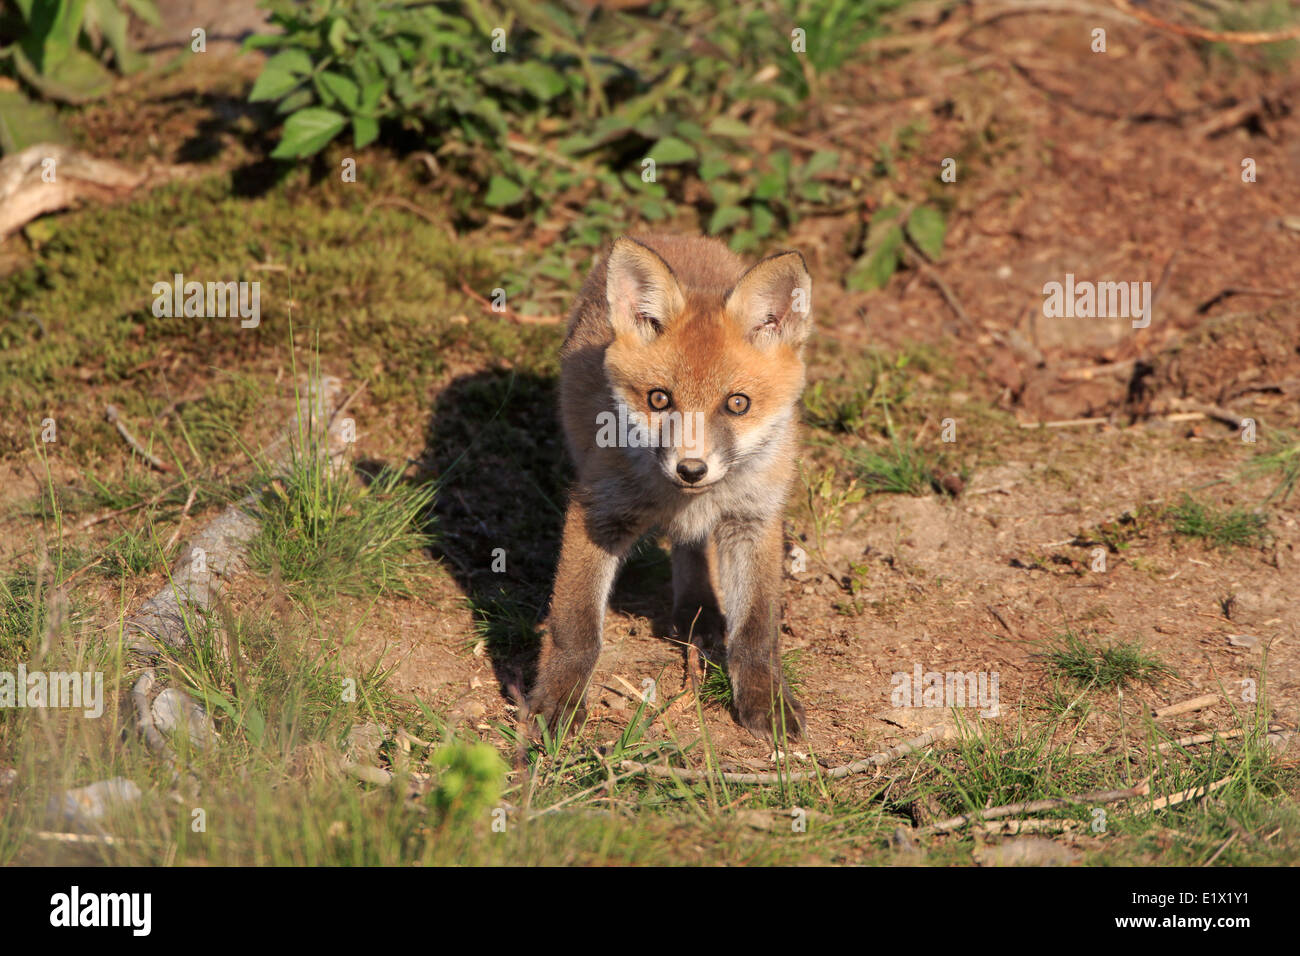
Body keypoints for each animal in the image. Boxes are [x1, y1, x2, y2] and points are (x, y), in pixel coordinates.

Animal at [525, 234, 813, 740]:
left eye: (737, 404)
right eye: (659, 399)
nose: (691, 470)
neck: (683, 498)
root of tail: (678, 235)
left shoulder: (753, 518)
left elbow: (757, 631)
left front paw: (766, 699)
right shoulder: (598, 510)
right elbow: (575, 627)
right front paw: (560, 698)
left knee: (693, 547)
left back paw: (697, 611)